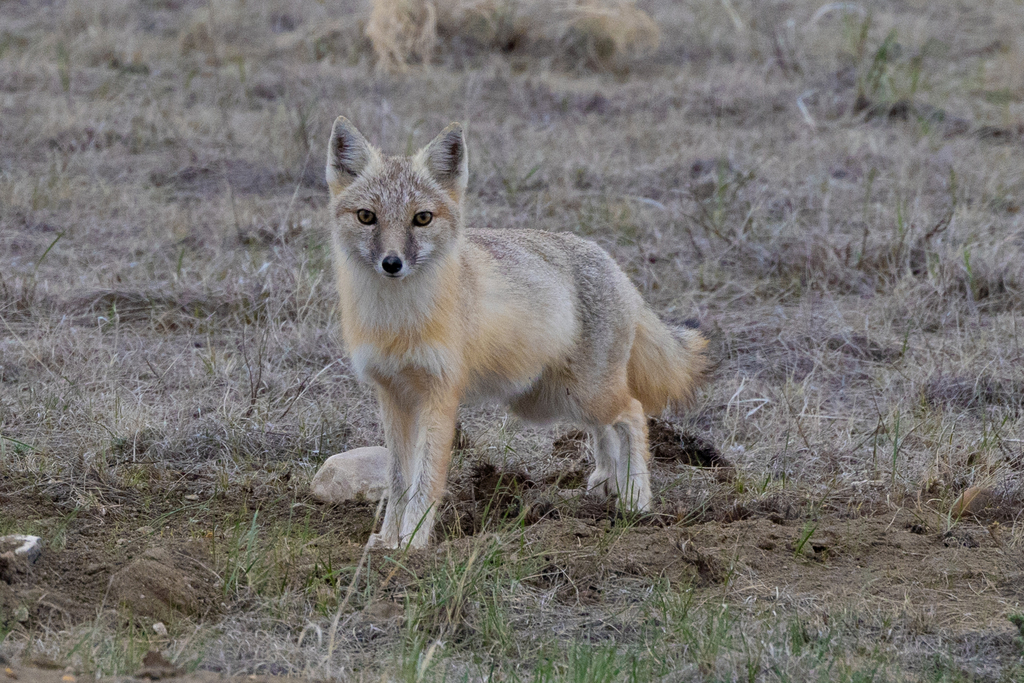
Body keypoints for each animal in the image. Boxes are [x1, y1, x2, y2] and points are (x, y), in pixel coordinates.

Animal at [325, 117, 710, 549]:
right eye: (366, 216)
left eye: (421, 219)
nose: (392, 263)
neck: (398, 320)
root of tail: (615, 266)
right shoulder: (393, 394)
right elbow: (397, 480)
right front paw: (388, 540)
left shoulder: (440, 395)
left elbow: (425, 481)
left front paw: (412, 544)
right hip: (554, 399)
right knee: (608, 427)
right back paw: (608, 483)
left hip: (581, 394)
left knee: (632, 413)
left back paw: (636, 499)